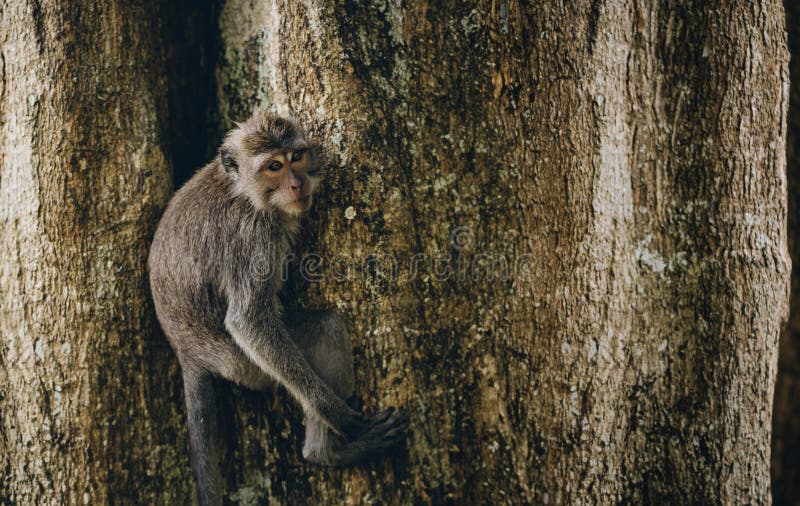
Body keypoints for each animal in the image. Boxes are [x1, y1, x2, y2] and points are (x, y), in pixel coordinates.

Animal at [148, 111, 408, 505]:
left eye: (296, 157)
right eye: (274, 166)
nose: (297, 184)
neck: (242, 191)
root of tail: (186, 352)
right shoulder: (252, 236)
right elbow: (248, 321)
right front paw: (340, 417)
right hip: (243, 365)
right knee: (325, 328)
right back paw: (328, 451)